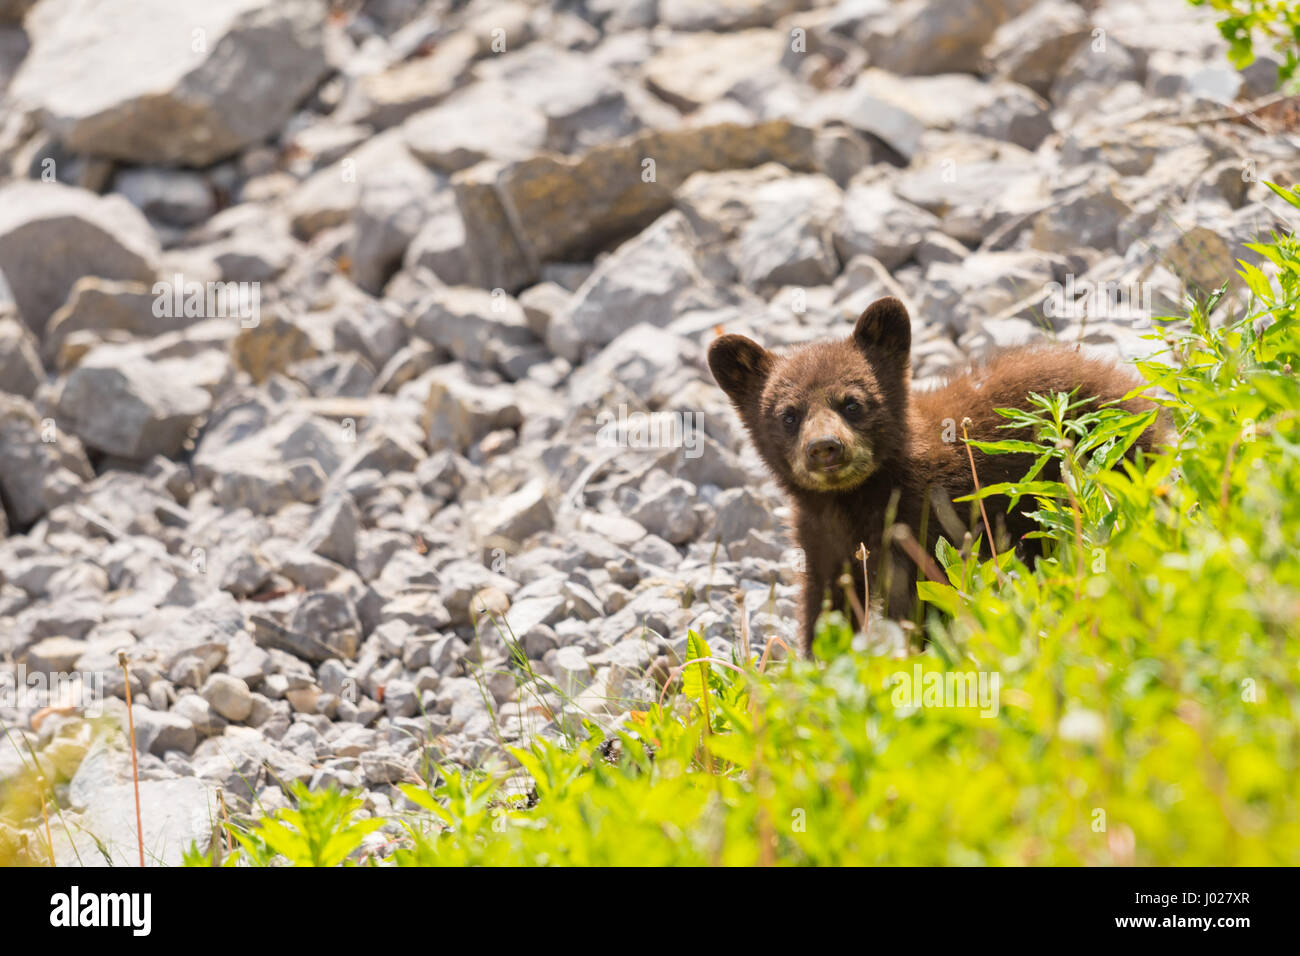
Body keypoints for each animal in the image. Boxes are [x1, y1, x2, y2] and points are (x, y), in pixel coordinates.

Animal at [707, 296, 1165, 656]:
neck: (854, 503)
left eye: (853, 403)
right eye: (788, 414)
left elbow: (927, 603)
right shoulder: (821, 540)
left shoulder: (928, 523)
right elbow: (826, 604)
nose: (825, 447)